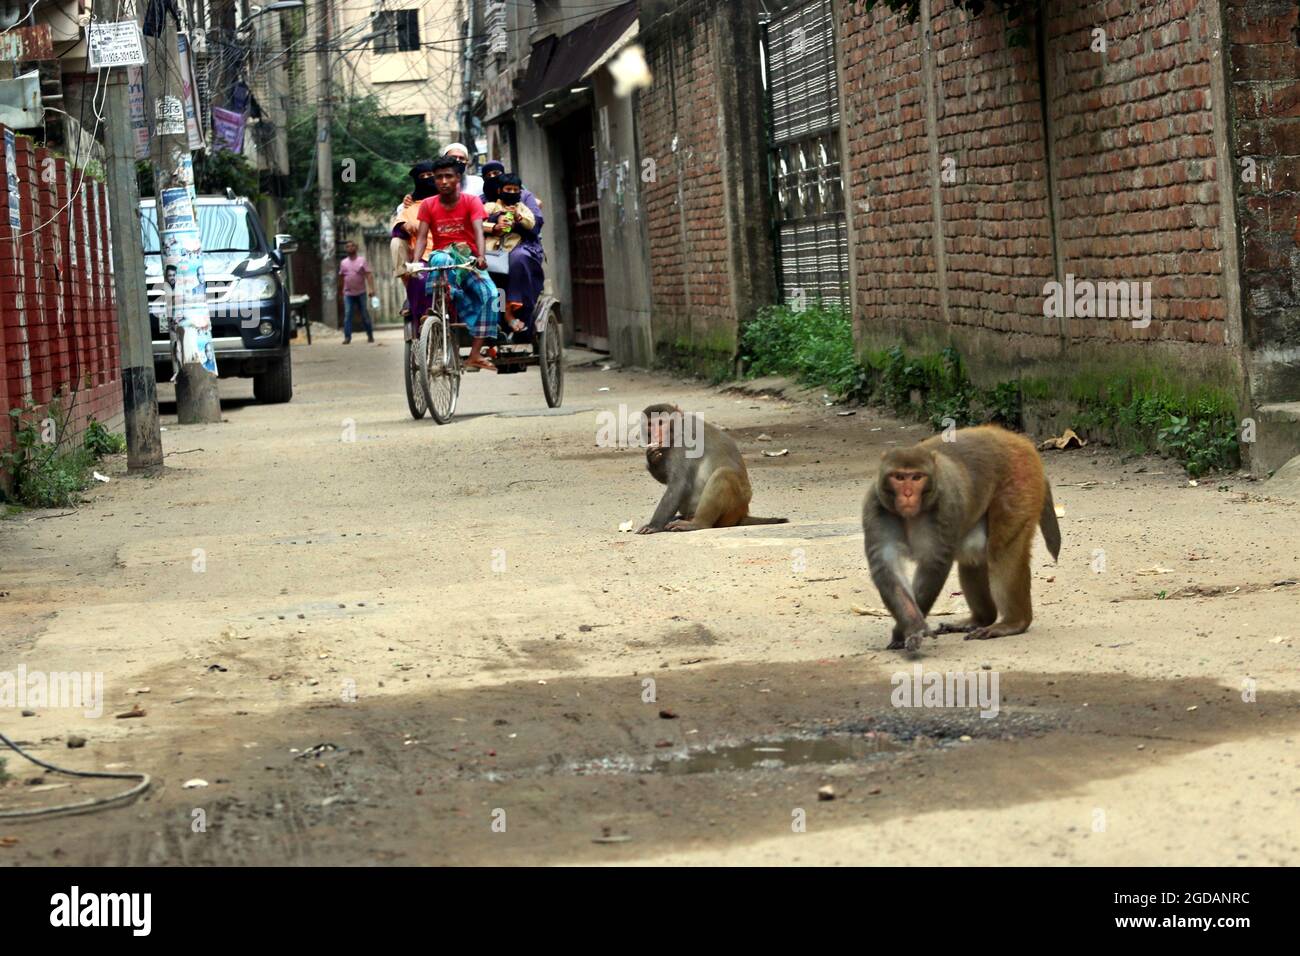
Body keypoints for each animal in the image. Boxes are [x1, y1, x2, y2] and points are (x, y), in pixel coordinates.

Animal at [636, 403, 788, 533]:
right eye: (649, 425)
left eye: (661, 423)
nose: (656, 435)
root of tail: (742, 513)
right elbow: (667, 479)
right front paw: (652, 458)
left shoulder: (684, 443)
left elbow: (679, 484)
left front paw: (654, 525)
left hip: (733, 509)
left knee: (723, 474)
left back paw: (698, 523)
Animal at [861, 424, 1061, 653]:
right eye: (899, 477)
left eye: (917, 477)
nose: (908, 494)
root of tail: (1020, 441)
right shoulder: (875, 508)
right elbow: (887, 568)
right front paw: (910, 626)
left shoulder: (946, 505)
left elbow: (934, 564)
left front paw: (908, 630)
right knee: (973, 556)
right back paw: (981, 619)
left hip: (1020, 482)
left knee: (1003, 552)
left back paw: (1014, 622)